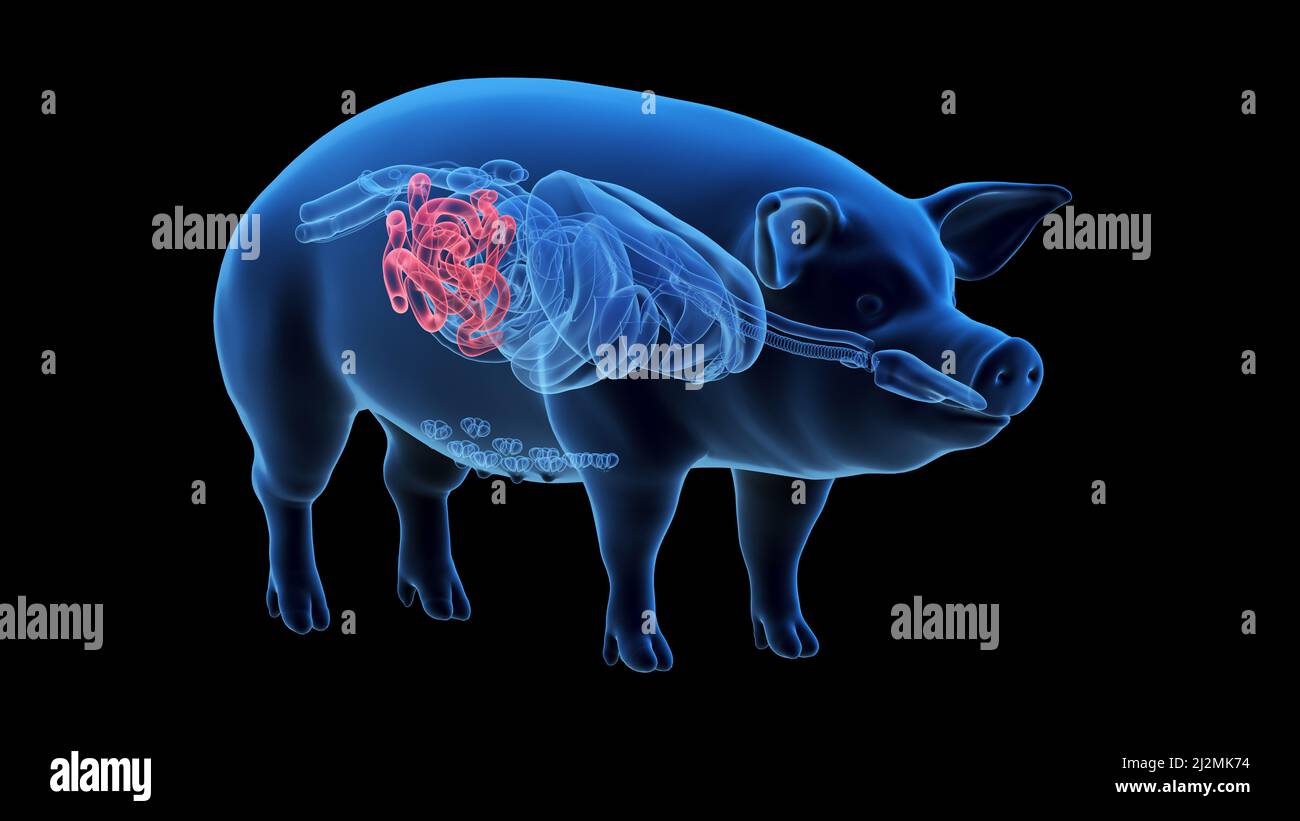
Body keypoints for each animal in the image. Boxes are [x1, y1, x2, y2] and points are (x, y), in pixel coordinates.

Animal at [214, 78, 1068, 672]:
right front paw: (647, 660)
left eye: (948, 291)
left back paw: (446, 608)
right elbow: (636, 535)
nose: (1011, 353)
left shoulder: (789, 467)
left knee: (409, 479)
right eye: (870, 299)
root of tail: (264, 202)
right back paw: (305, 615)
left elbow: (774, 541)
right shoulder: (617, 438)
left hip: (422, 408)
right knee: (285, 483)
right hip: (281, 371)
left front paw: (797, 646)